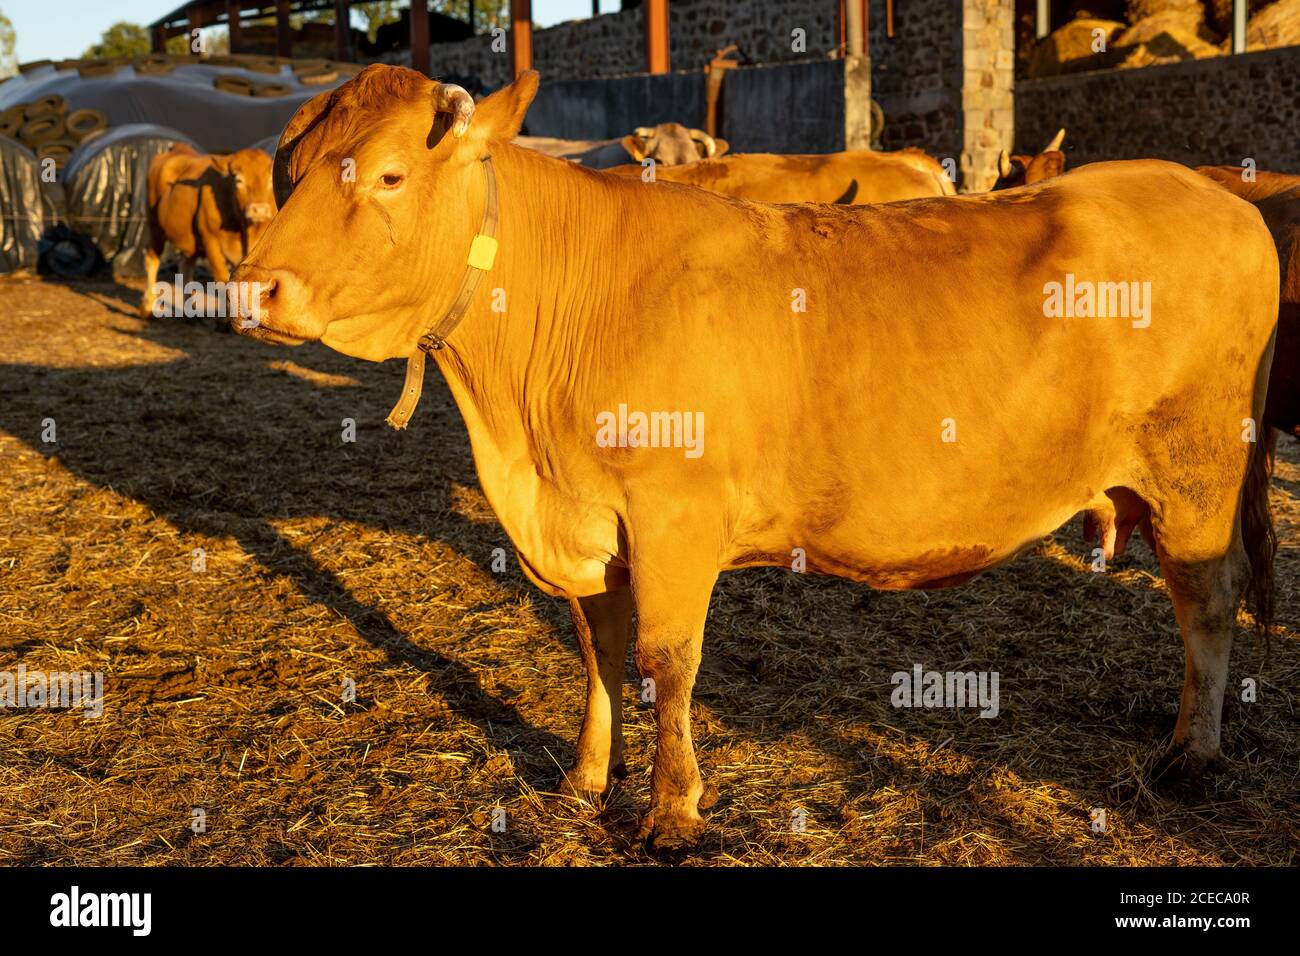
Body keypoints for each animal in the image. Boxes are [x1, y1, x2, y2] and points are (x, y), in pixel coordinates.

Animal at [141, 145, 277, 319]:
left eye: (269, 180)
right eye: (238, 180)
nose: (259, 210)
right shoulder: (210, 241)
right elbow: (222, 279)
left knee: (186, 265)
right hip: (155, 226)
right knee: (153, 259)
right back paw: (147, 307)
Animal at [233, 66, 1278, 849]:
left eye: (388, 176)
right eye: (289, 171)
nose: (251, 288)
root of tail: (1207, 191)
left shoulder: (673, 519)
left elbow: (666, 660)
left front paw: (673, 810)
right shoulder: (587, 524)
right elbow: (598, 649)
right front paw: (587, 780)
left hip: (1195, 474)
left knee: (1206, 598)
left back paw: (1191, 754)